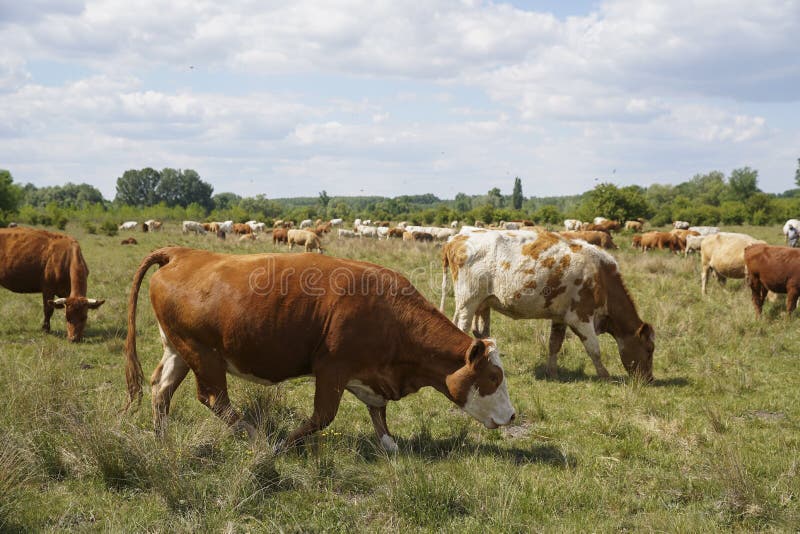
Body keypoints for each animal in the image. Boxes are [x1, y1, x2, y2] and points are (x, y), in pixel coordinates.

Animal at [123, 248, 515, 451]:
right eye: (493, 377)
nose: (512, 416)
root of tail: (181, 253)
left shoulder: (371, 378)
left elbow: (380, 418)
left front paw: (391, 447)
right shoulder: (332, 370)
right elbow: (321, 417)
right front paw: (282, 445)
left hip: (178, 350)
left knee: (161, 389)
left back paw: (161, 439)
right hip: (203, 355)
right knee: (214, 398)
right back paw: (257, 437)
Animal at [440, 229, 654, 381]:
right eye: (650, 349)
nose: (649, 379)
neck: (600, 276)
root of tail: (457, 238)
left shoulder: (560, 317)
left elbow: (554, 345)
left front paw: (552, 373)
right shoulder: (581, 316)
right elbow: (594, 349)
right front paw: (605, 376)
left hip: (482, 304)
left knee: (481, 333)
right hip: (468, 302)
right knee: (462, 328)